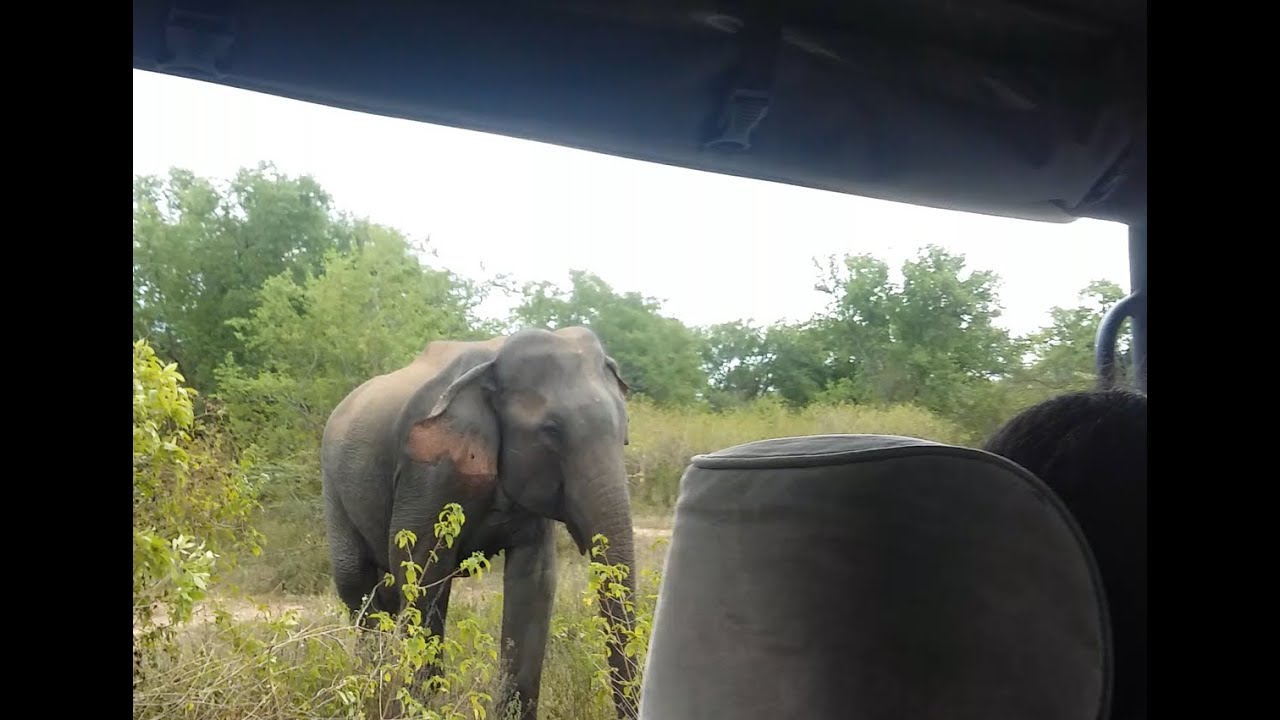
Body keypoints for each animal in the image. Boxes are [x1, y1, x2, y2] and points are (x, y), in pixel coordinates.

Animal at [320, 326, 637, 720]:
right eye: (550, 431)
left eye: (624, 431)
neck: (493, 361)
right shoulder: (428, 472)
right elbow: (422, 574)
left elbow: (534, 583)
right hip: (333, 484)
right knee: (356, 582)